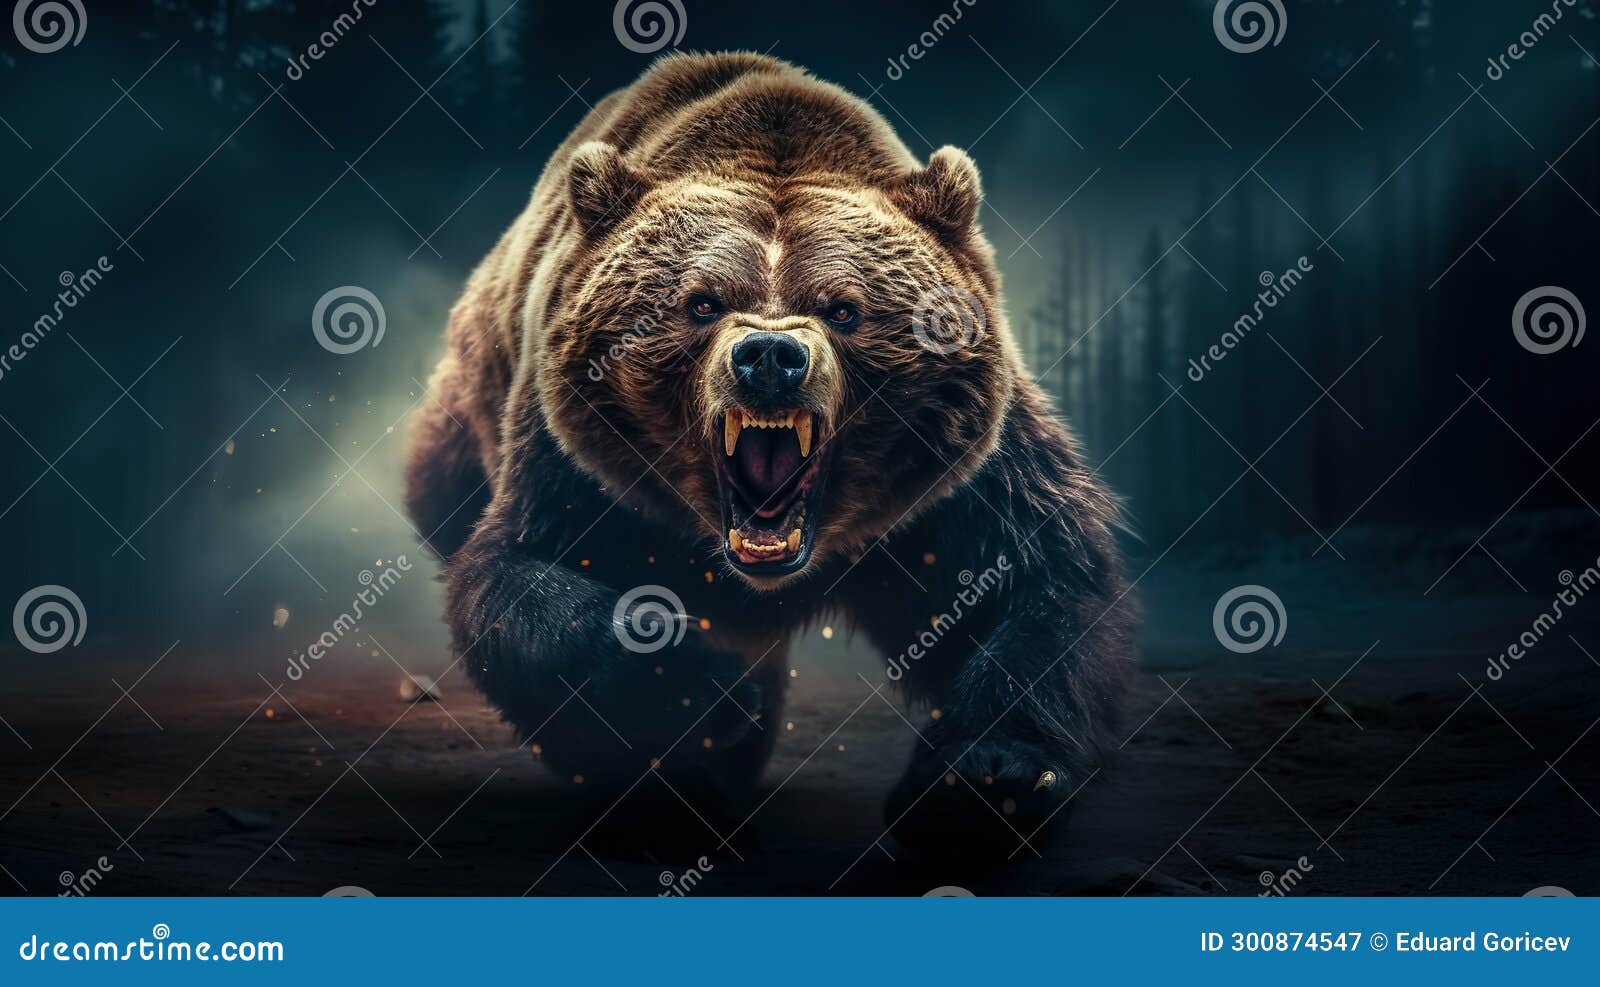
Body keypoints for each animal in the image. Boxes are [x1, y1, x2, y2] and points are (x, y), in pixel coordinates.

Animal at [404, 51, 1132, 854]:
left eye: (842, 307)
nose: (770, 358)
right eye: (701, 301)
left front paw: (984, 784)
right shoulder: (584, 468)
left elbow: (1033, 581)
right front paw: (706, 695)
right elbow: (522, 580)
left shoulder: (953, 483)